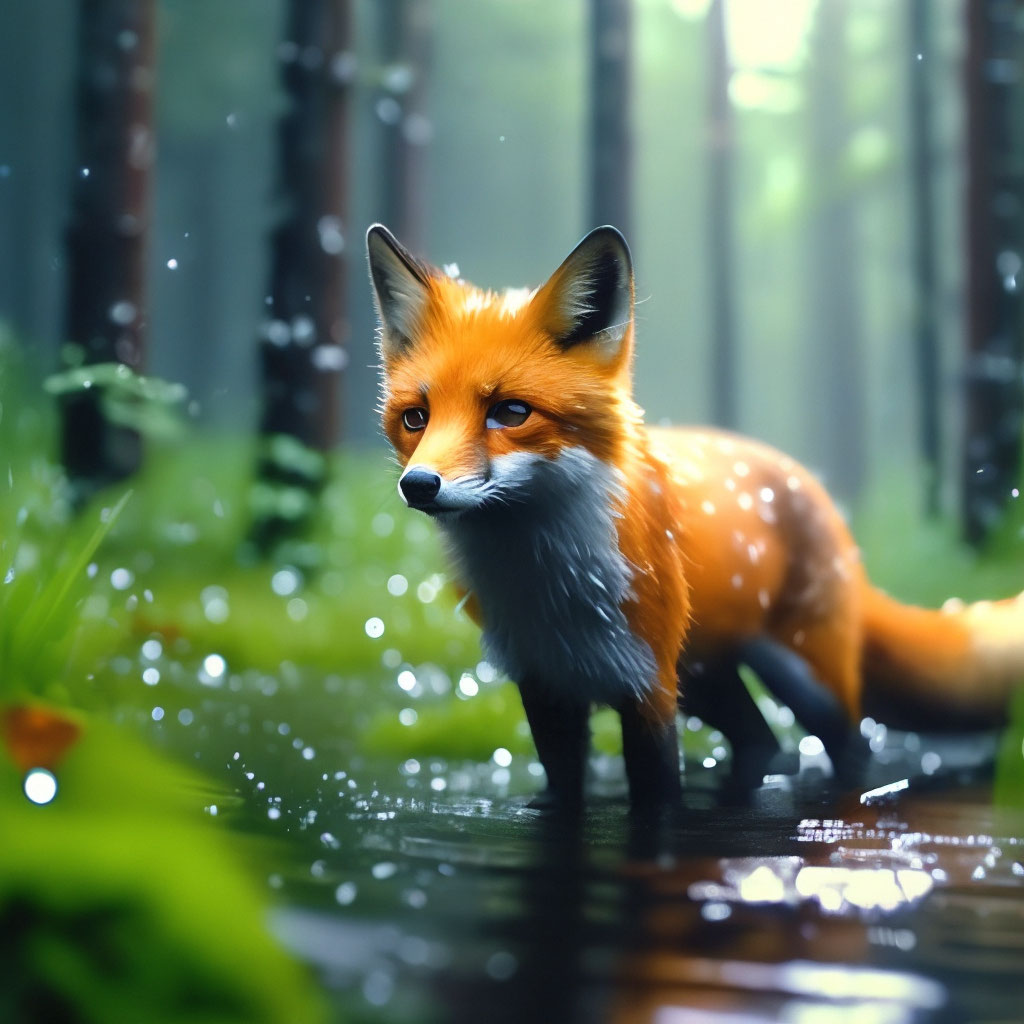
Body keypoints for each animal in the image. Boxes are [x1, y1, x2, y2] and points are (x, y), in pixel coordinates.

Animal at [367, 222, 1024, 811]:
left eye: (510, 412)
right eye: (415, 418)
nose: (418, 485)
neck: (549, 589)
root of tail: (810, 483)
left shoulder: (647, 690)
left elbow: (658, 799)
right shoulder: (546, 689)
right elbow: (561, 797)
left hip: (806, 683)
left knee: (850, 747)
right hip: (706, 679)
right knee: (761, 738)